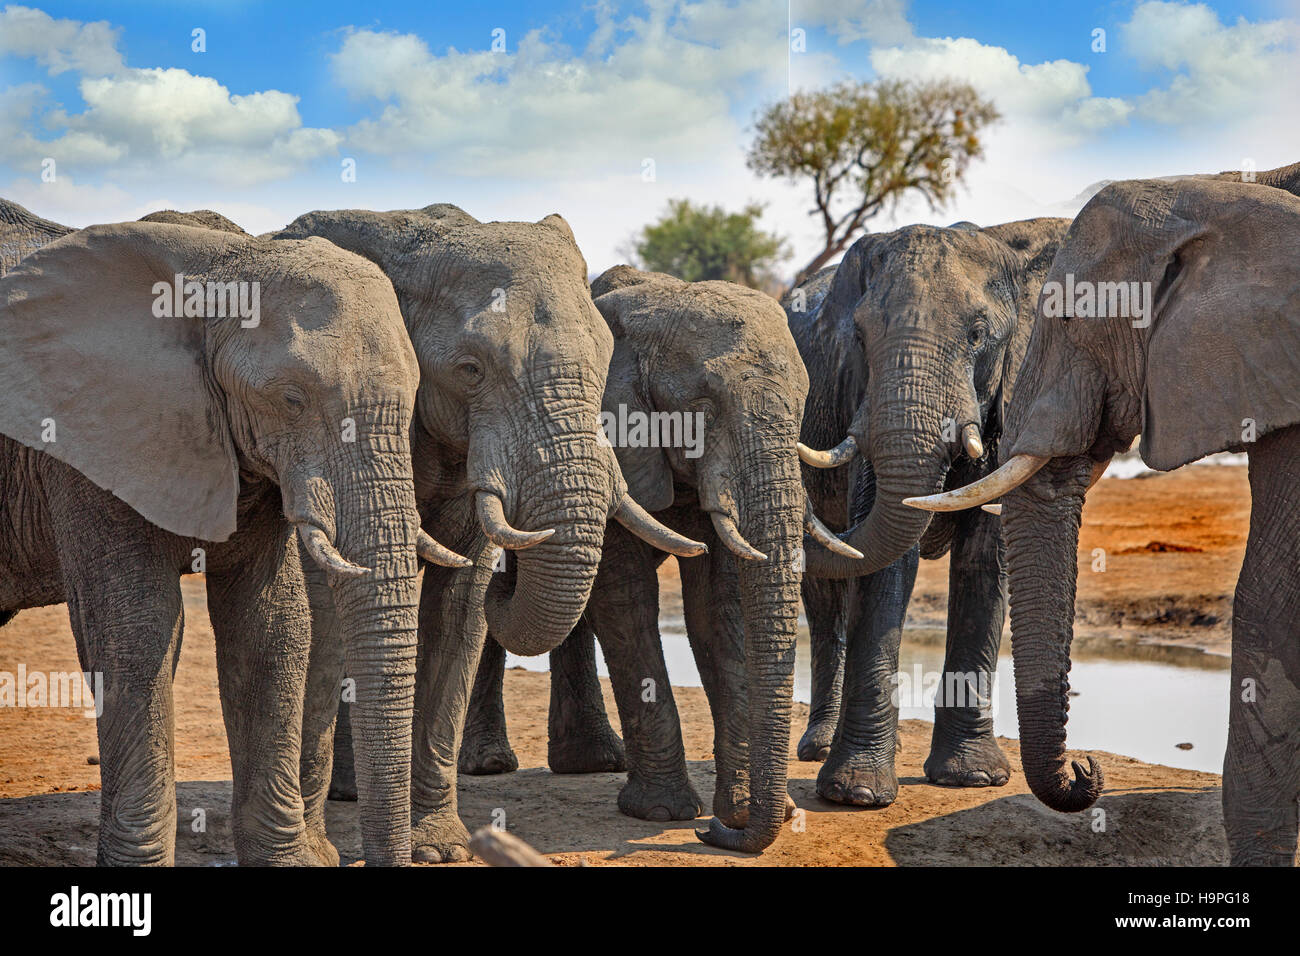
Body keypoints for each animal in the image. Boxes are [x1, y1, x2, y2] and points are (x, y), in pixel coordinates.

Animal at [0, 219, 457, 865]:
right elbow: (134, 632)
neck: (219, 263)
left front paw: (286, 860)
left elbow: (271, 626)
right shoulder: (81, 441)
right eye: (291, 399)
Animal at [464, 265, 856, 853]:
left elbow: (717, 610)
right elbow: (625, 601)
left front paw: (741, 811)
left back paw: (592, 762)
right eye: (705, 407)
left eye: (802, 406)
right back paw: (489, 764)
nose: (714, 835)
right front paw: (662, 811)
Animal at [784, 216, 1071, 806]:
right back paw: (820, 748)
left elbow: (986, 559)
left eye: (979, 334)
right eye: (860, 337)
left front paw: (973, 777)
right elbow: (888, 561)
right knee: (826, 594)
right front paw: (856, 794)